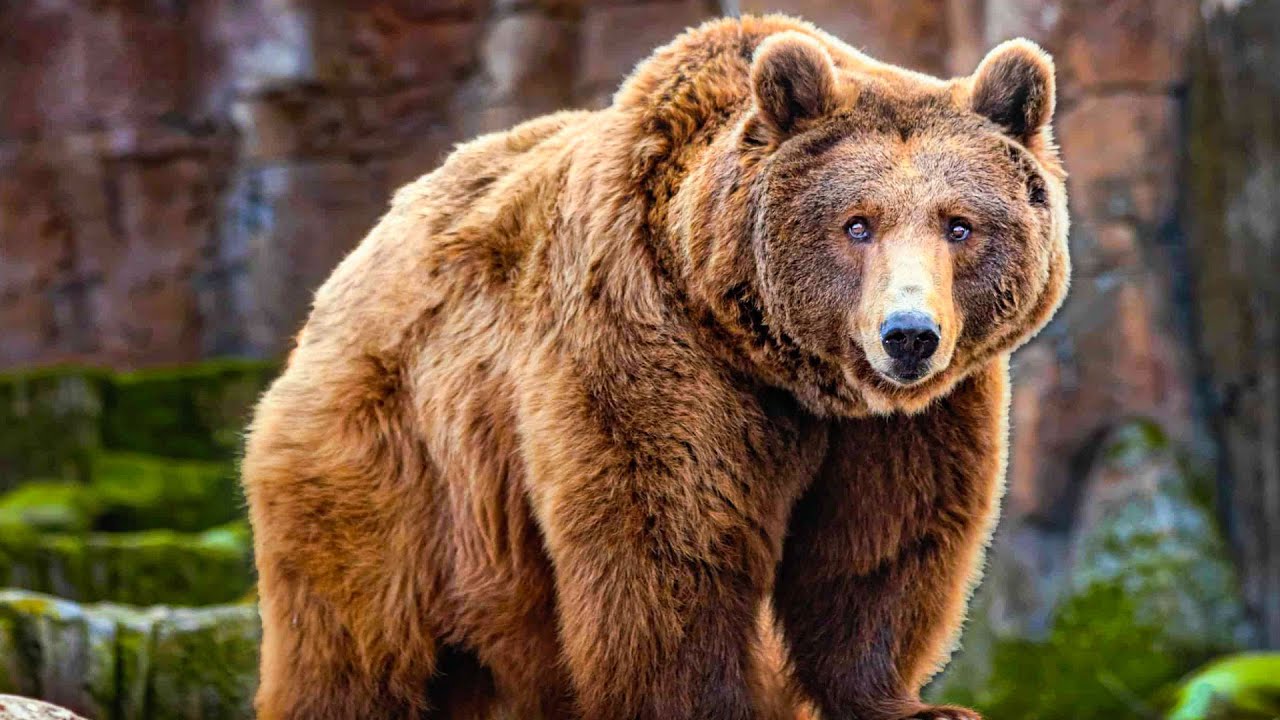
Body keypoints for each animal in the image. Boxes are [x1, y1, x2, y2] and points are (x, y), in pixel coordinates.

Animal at [242, 14, 1069, 720]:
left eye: (960, 225)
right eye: (856, 224)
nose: (909, 335)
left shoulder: (911, 420)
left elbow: (883, 545)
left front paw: (912, 703)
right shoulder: (649, 346)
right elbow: (671, 541)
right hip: (393, 459)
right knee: (357, 631)